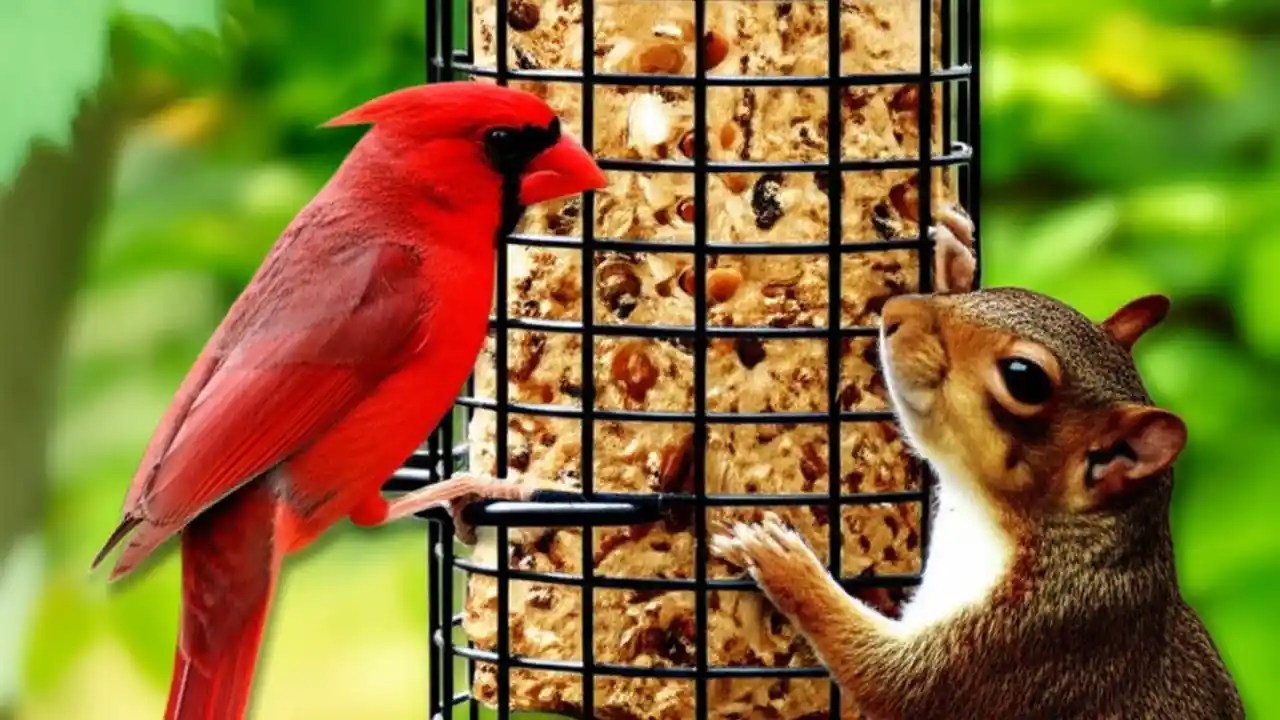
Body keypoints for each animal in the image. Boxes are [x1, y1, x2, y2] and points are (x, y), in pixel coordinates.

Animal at [710, 226, 1245, 718]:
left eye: (1024, 378)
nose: (895, 312)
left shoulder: (1027, 639)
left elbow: (888, 680)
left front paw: (785, 564)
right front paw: (956, 257)